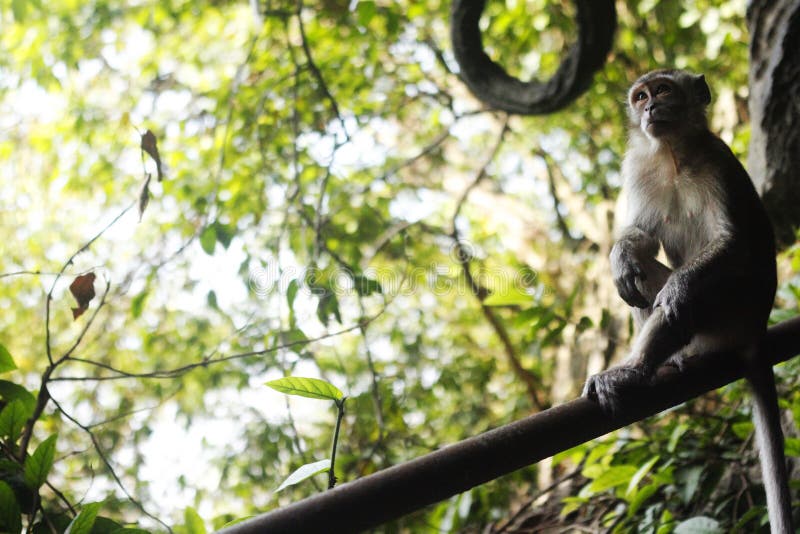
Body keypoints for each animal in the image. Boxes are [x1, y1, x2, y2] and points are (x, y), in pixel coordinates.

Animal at [582, 69, 792, 532]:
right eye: (639, 96)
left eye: (662, 90)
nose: (648, 108)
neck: (672, 156)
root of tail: (756, 330)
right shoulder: (639, 169)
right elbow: (641, 238)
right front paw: (621, 255)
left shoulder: (717, 163)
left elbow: (730, 242)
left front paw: (677, 289)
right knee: (639, 275)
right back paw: (667, 355)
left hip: (730, 314)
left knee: (691, 300)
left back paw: (634, 370)